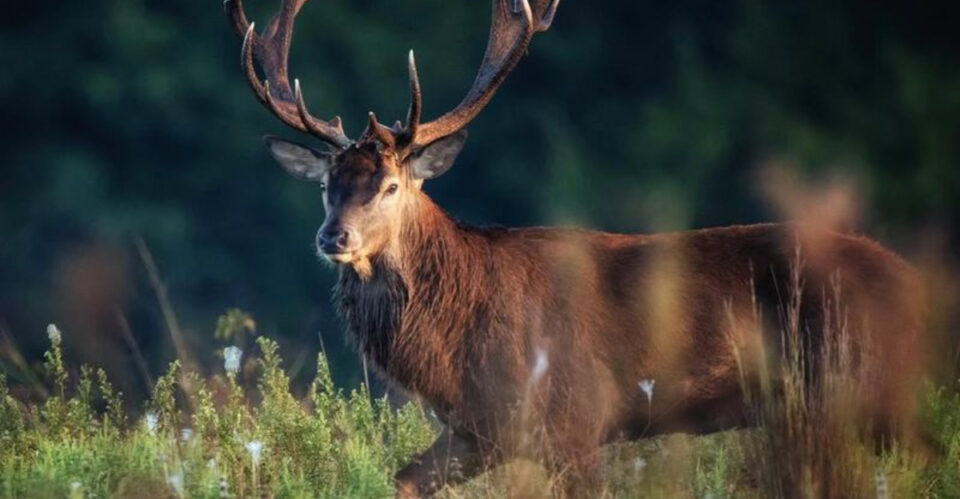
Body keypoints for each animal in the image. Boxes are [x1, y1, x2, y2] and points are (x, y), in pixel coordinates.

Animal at [225, 0, 923, 496]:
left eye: (392, 185)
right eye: (327, 185)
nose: (333, 237)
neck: (455, 336)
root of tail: (919, 286)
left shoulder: (578, 417)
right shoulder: (479, 429)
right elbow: (401, 480)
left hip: (858, 383)